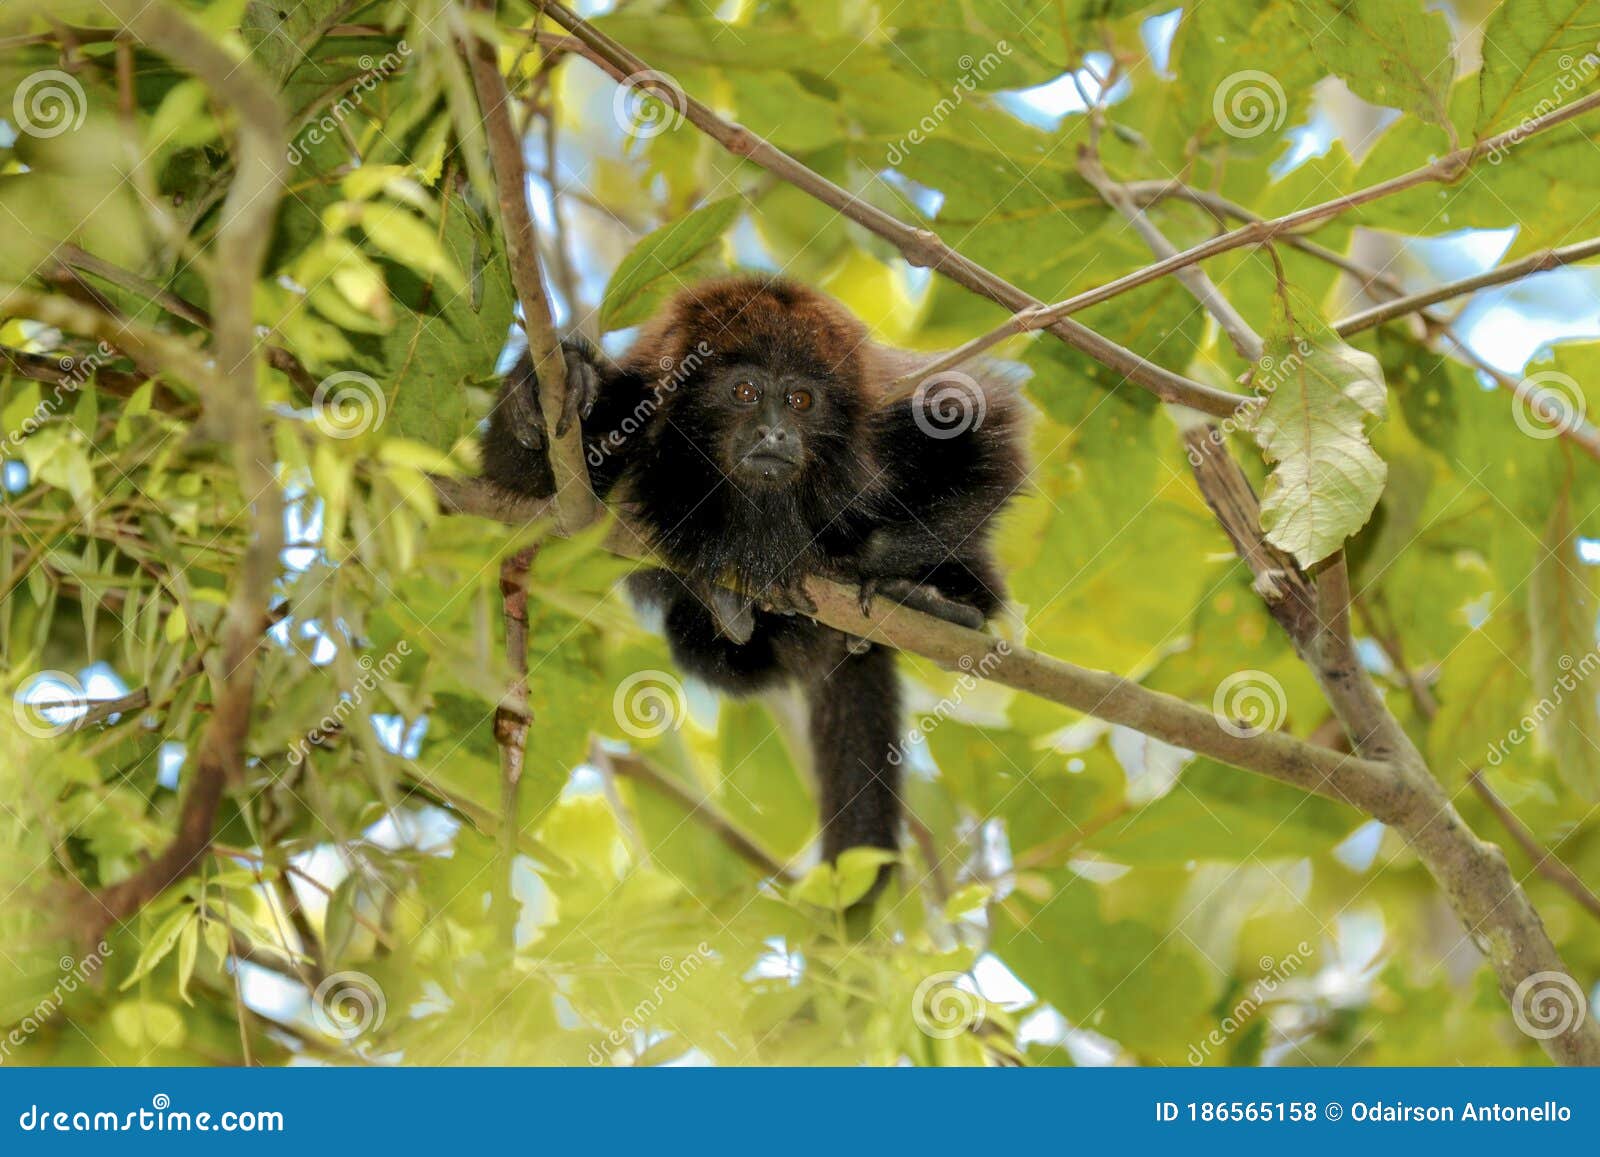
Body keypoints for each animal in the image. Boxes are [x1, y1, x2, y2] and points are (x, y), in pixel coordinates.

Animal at [482, 275, 1026, 894]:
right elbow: (525, 496)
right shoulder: (634, 404)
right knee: (696, 644)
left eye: (800, 401)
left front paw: (846, 566)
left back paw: (941, 604)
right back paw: (731, 611)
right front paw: (555, 380)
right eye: (744, 391)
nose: (774, 432)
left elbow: (990, 436)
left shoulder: (883, 412)